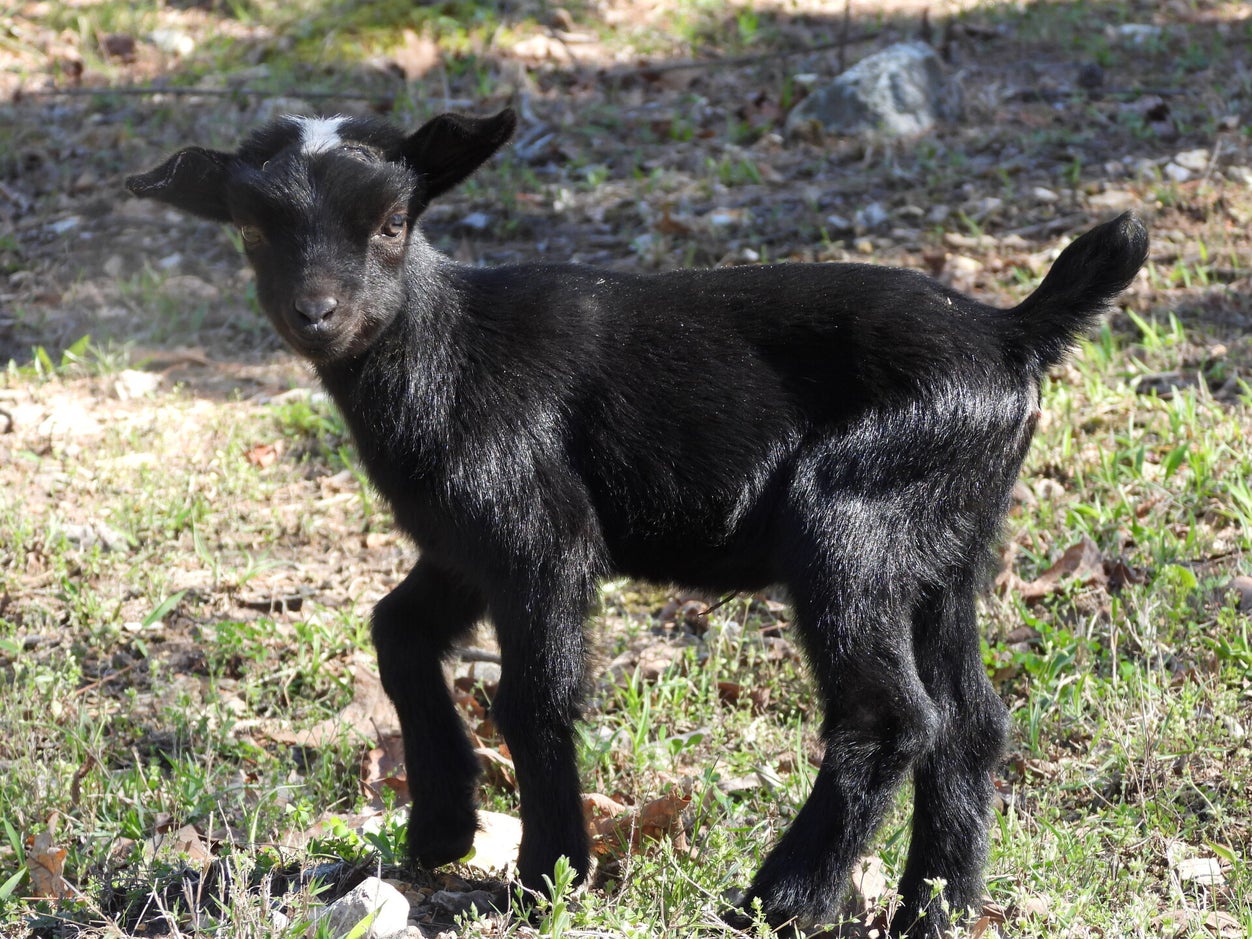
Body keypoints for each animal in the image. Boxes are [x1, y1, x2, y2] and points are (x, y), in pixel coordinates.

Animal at [127, 108, 1148, 937]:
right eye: (251, 228)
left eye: (391, 223)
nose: (319, 314)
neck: (448, 354)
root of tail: (1014, 333)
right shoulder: (463, 543)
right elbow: (397, 630)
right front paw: (443, 824)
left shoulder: (537, 533)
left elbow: (532, 695)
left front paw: (549, 874)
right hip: (945, 541)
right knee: (970, 720)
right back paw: (931, 909)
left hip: (850, 518)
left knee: (891, 711)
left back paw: (779, 901)